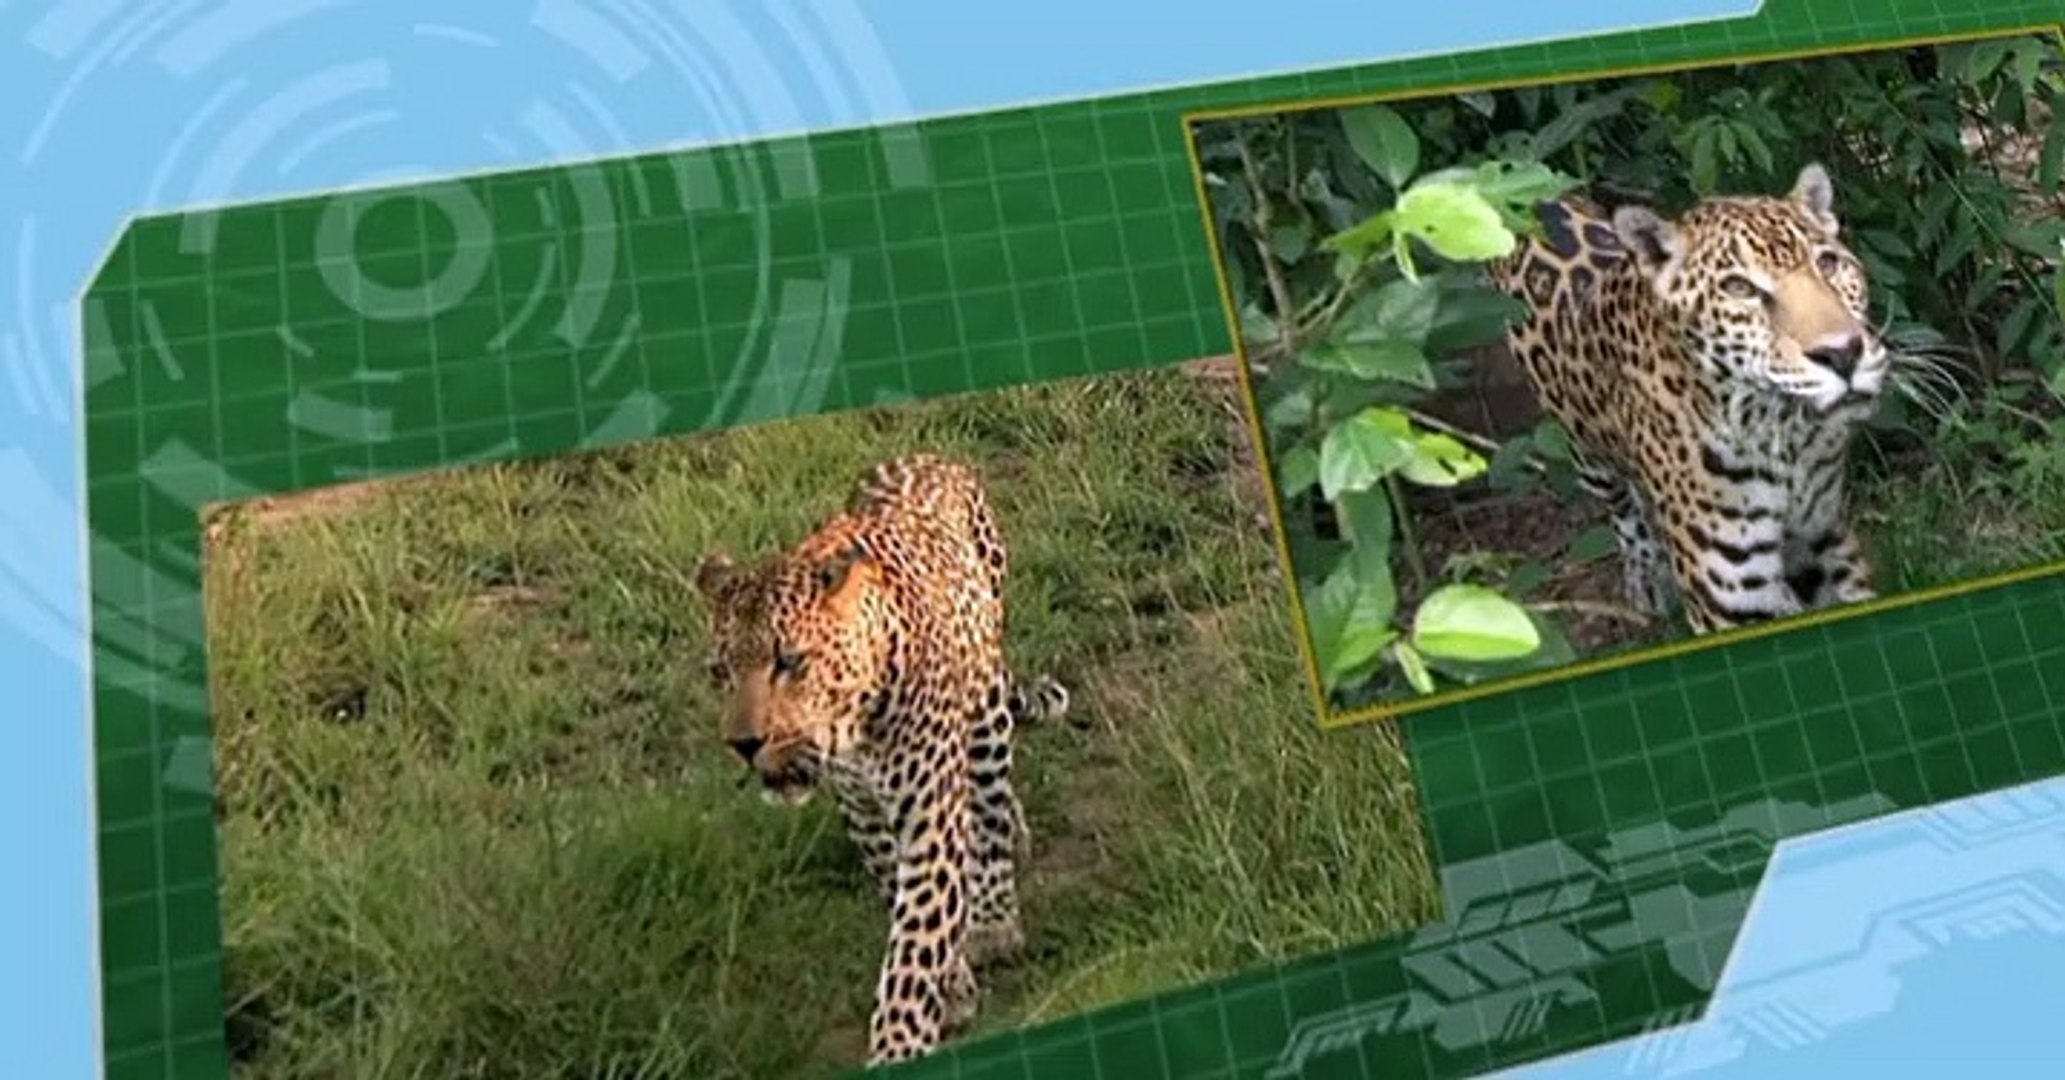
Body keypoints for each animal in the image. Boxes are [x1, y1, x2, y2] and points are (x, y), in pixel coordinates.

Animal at [691, 452, 1070, 1067]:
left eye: (790, 662)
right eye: (719, 671)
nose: (744, 744)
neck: (852, 724)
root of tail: (929, 455)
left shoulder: (928, 807)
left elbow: (916, 937)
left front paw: (900, 1044)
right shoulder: (864, 812)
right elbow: (903, 897)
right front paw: (954, 989)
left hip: (986, 707)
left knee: (987, 801)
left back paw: (994, 917)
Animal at [1484, 162, 1891, 635]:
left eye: (1828, 263)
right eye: (1739, 288)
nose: (1844, 353)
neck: (1787, 433)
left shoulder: (1826, 540)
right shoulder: (1732, 599)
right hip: (1584, 449)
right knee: (1621, 506)